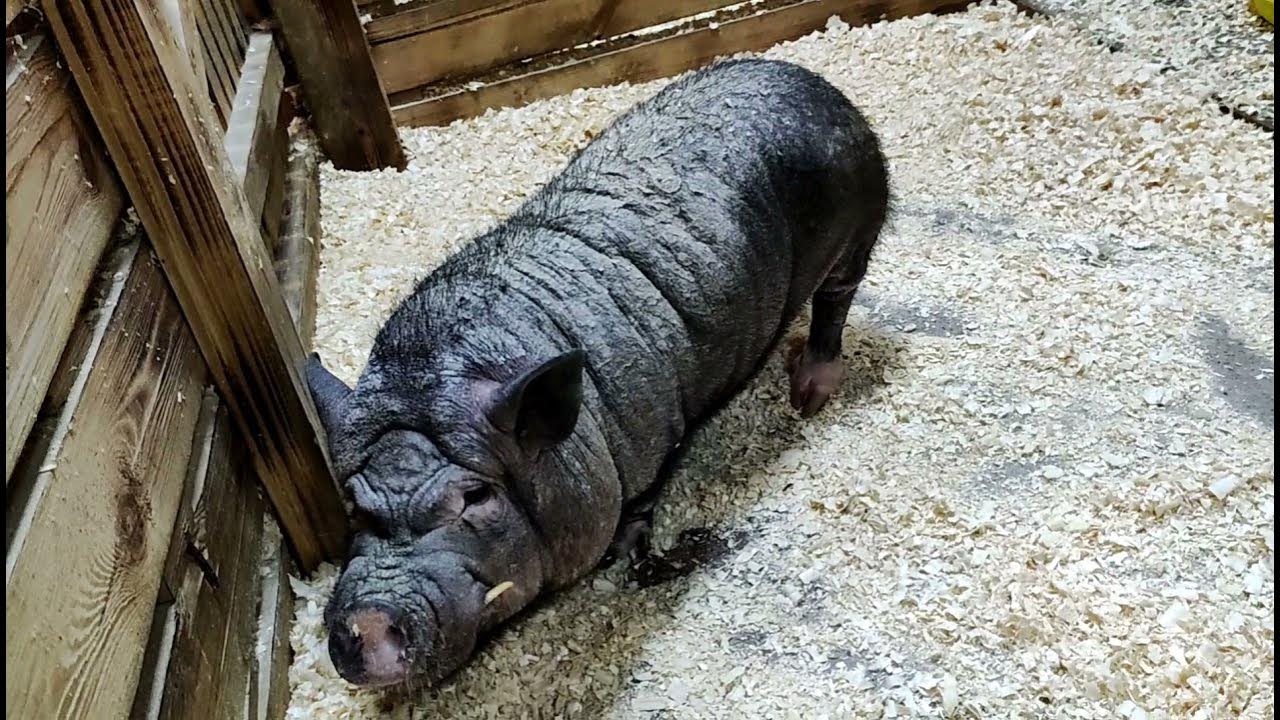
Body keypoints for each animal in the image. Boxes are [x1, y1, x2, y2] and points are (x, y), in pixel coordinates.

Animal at [307, 57, 890, 688]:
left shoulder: (656, 439)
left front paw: (632, 552)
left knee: (836, 301)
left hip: (861, 221)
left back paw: (809, 395)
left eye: (475, 496)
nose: (367, 625)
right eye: (353, 505)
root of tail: (818, 86)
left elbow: (643, 508)